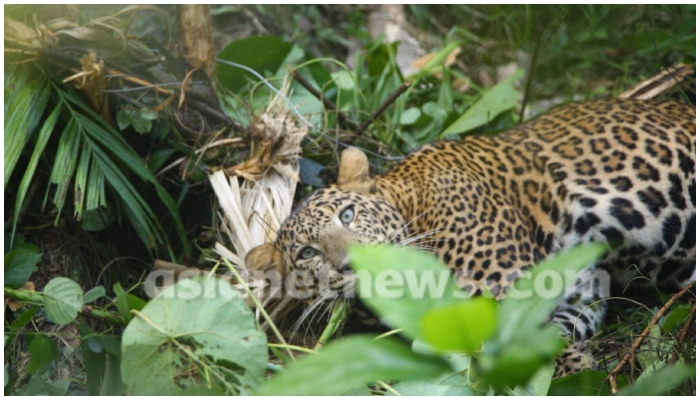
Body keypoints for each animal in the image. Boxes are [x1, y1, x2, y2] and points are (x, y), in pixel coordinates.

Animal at [245, 98, 696, 377]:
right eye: (307, 253)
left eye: (348, 215)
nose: (349, 263)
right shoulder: (576, 294)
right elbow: (546, 337)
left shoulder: (505, 291)